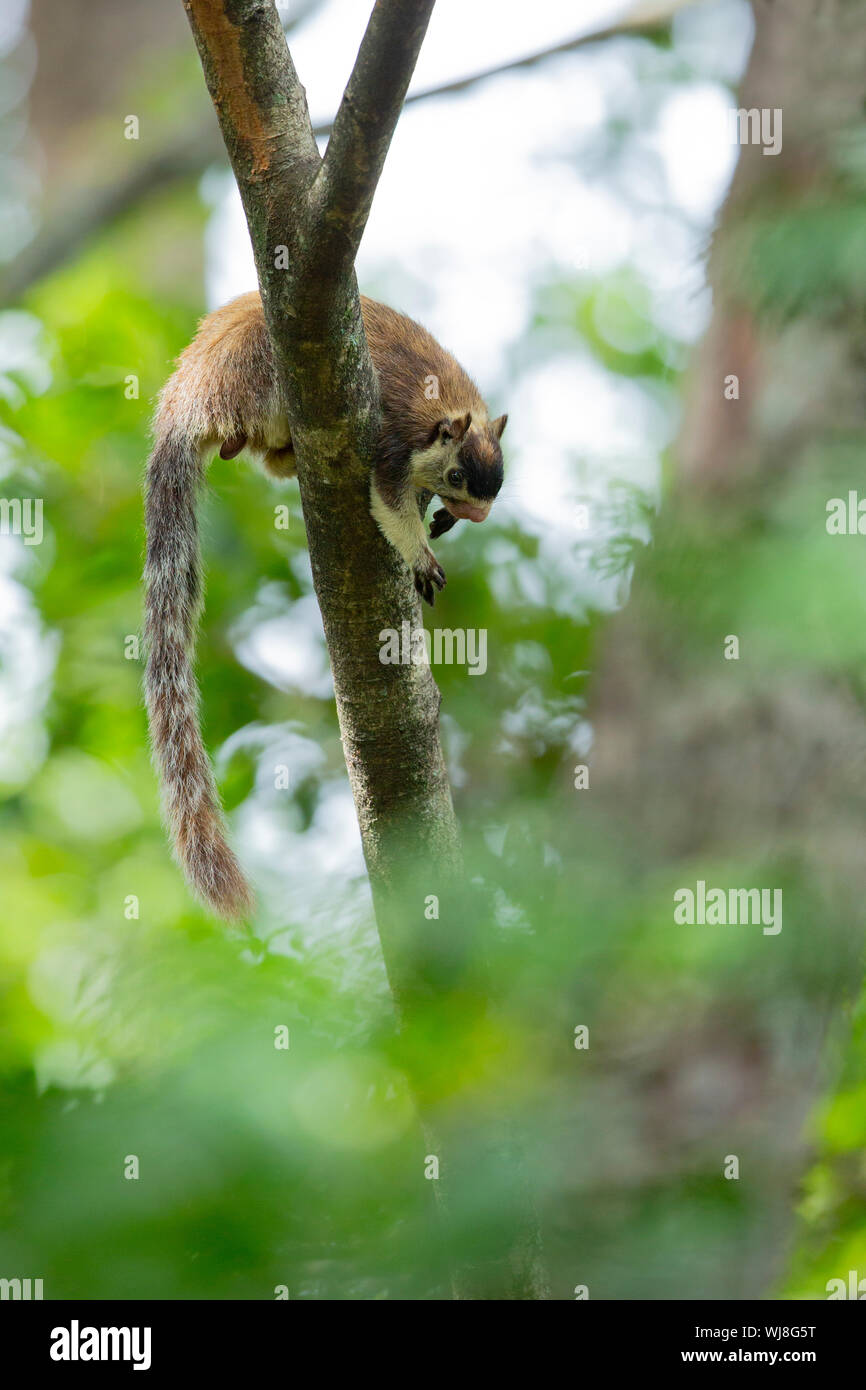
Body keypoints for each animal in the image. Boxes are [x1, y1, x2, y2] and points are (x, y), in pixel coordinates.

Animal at [144, 291, 506, 920]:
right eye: (458, 473)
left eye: (498, 483)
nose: (476, 514)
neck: (451, 411)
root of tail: (187, 396)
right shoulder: (393, 446)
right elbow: (388, 503)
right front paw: (421, 554)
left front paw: (440, 521)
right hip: (261, 378)